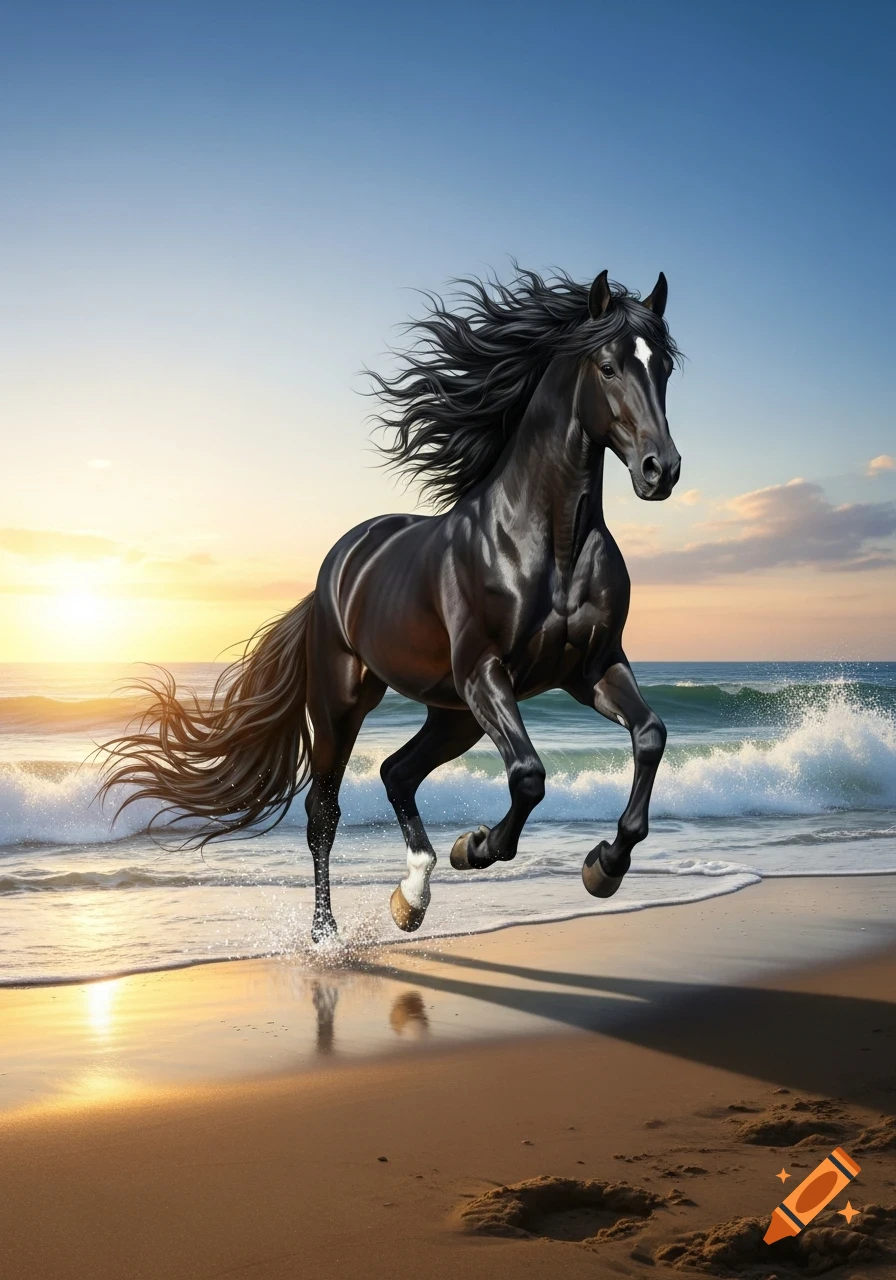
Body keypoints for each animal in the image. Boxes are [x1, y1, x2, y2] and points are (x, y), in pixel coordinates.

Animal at [100, 265, 682, 942]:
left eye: (665, 368)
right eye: (608, 366)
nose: (661, 470)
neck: (549, 543)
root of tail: (333, 573)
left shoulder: (591, 667)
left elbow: (650, 736)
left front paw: (603, 866)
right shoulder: (486, 672)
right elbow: (529, 776)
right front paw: (477, 847)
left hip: (454, 713)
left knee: (396, 772)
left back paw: (411, 898)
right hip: (346, 701)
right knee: (324, 809)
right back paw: (328, 931)